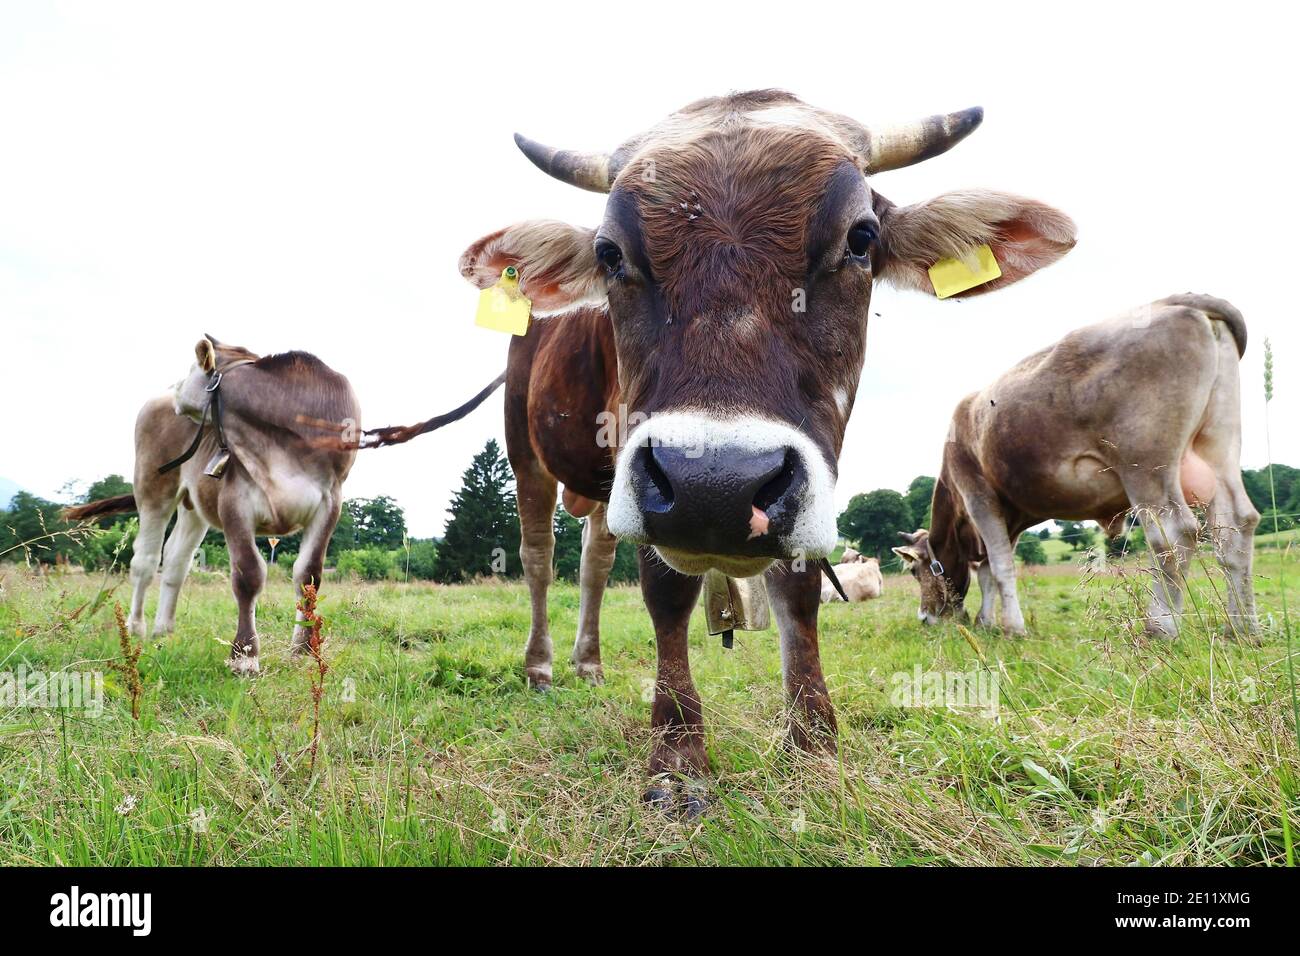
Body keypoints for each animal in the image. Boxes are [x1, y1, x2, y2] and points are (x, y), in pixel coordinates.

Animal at [64, 336, 360, 674]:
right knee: (146, 560)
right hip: (152, 487)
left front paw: (303, 650)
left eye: (191, 367)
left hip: (194, 506)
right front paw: (245, 656)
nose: (175, 386)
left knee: (176, 561)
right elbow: (248, 574)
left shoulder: (329, 502)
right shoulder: (234, 500)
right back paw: (135, 627)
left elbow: (309, 576)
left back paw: (163, 630)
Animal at [454, 90, 1075, 806]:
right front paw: (677, 753)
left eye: (861, 238)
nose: (715, 485)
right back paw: (543, 666)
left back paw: (589, 662)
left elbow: (798, 589)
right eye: (609, 254)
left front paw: (813, 742)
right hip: (526, 452)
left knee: (593, 559)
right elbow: (665, 593)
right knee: (537, 555)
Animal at [892, 294, 1258, 640]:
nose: (925, 617)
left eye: (913, 571)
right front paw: (986, 621)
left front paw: (1012, 629)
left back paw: (1160, 627)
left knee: (1173, 533)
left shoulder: (978, 496)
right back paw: (1241, 628)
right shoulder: (1010, 515)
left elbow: (998, 568)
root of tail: (1171, 300)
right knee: (1236, 525)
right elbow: (986, 572)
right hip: (1220, 446)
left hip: (1145, 462)